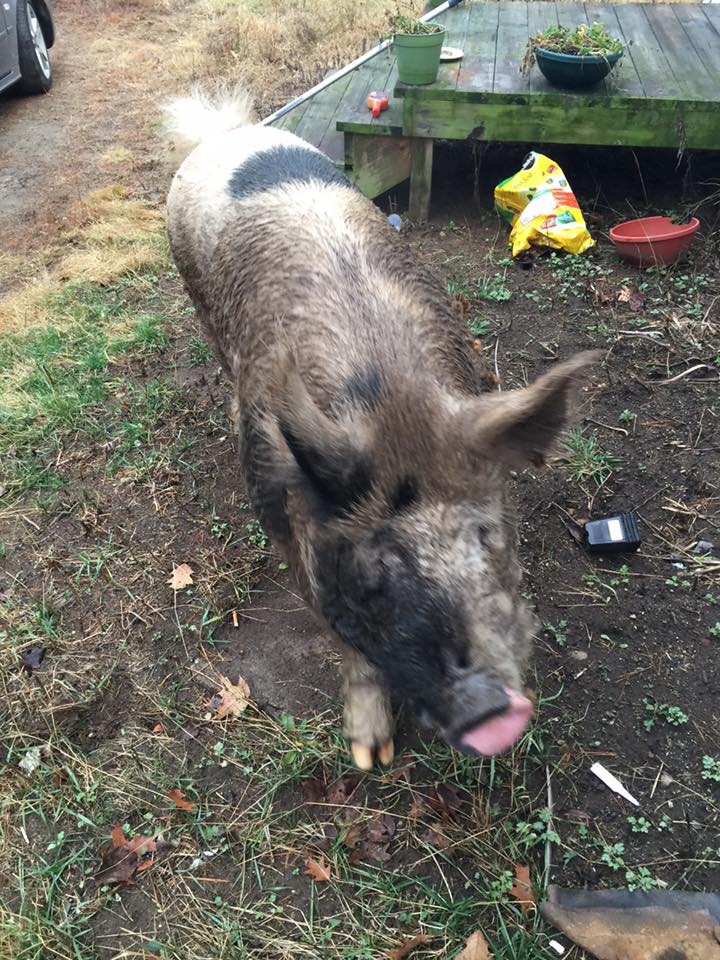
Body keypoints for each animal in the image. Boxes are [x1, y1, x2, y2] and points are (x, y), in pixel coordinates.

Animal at [165, 90, 599, 770]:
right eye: (374, 571)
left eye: (486, 536)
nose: (486, 706)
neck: (390, 403)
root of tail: (223, 133)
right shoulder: (287, 527)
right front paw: (372, 757)